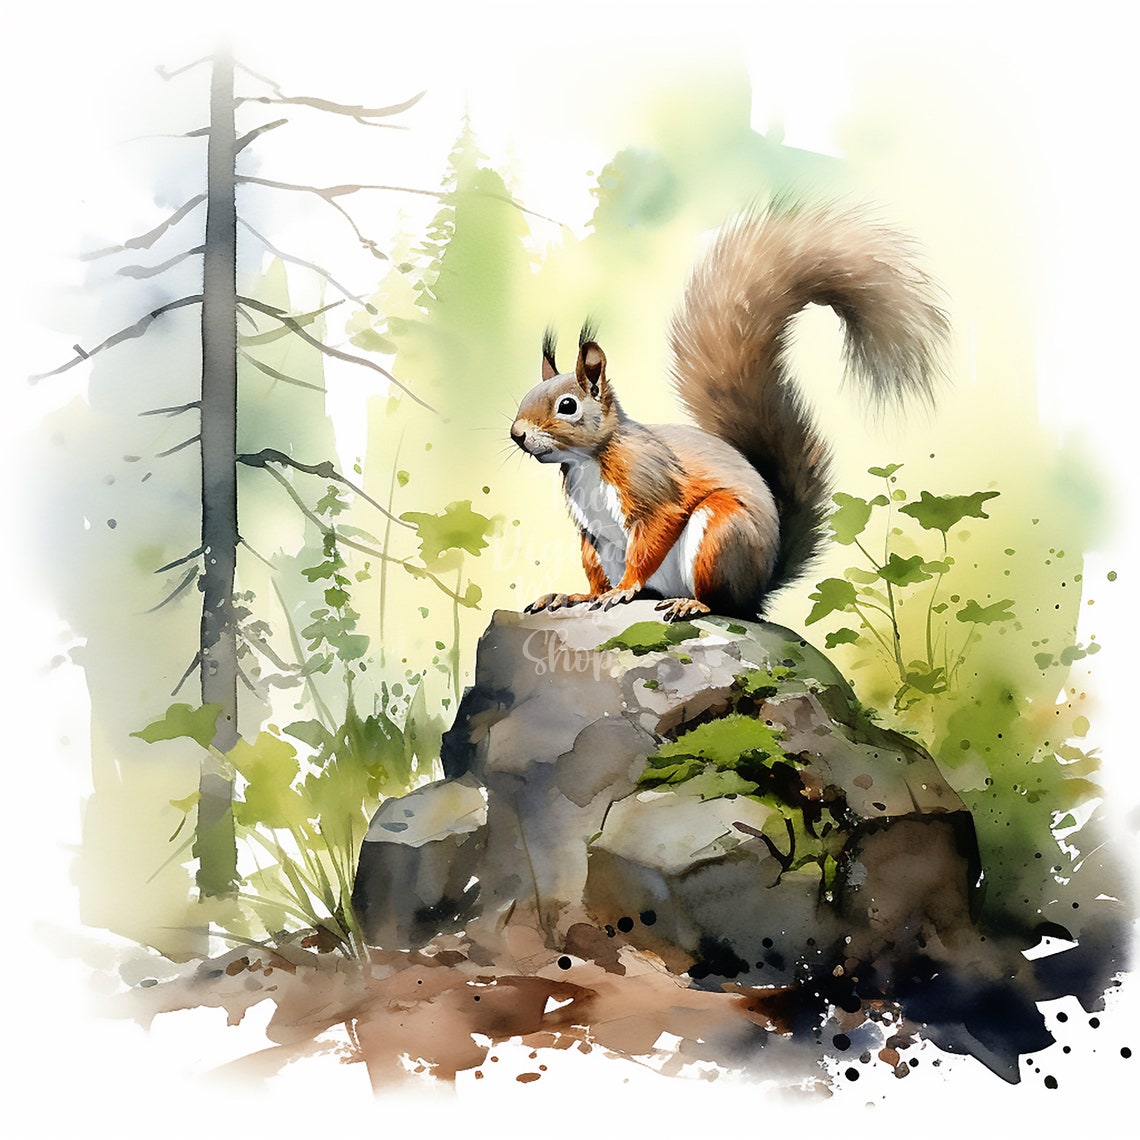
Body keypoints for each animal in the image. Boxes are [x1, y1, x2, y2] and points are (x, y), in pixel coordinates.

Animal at [509, 201, 949, 622]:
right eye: (525, 396)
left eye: (568, 406)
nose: (518, 434)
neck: (588, 459)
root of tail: (759, 589)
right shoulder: (591, 533)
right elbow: (595, 574)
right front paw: (582, 594)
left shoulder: (651, 484)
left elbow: (655, 533)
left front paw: (624, 588)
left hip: (721, 532)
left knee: (724, 603)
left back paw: (693, 604)